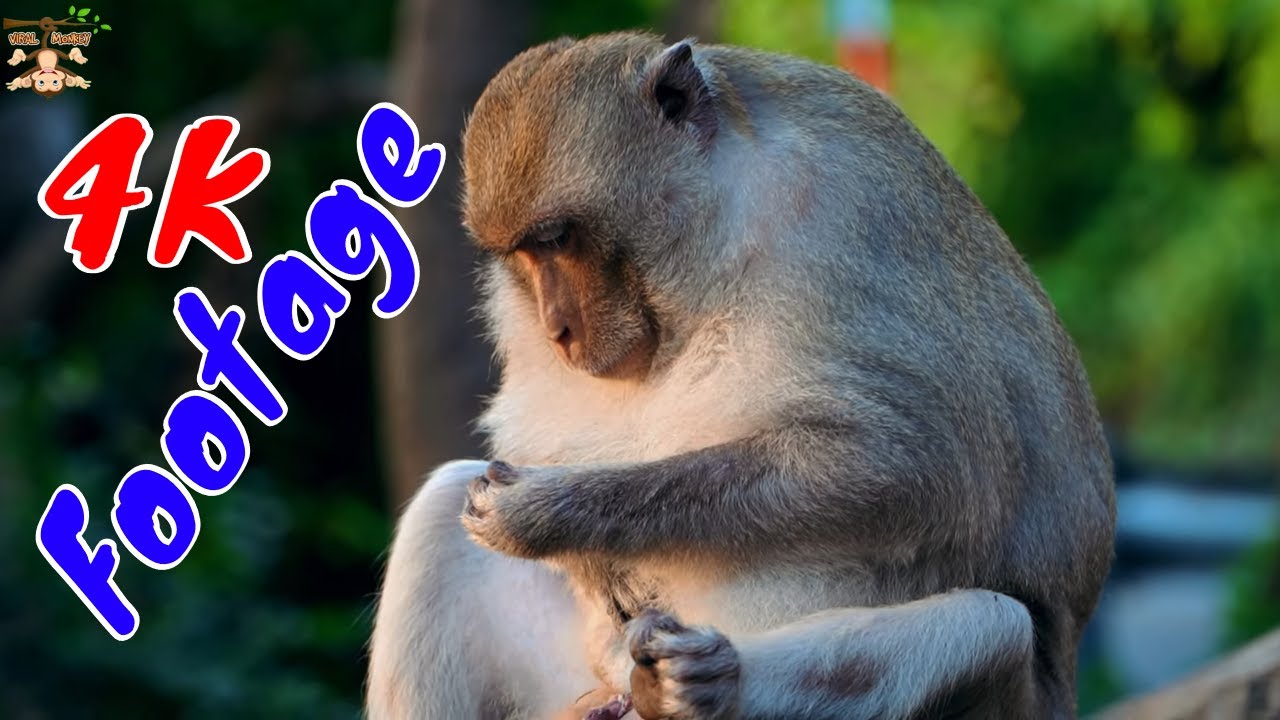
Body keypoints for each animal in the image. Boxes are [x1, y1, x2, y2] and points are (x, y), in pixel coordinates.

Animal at [367, 32, 1116, 720]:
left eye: (557, 239)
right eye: (522, 255)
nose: (558, 330)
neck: (714, 232)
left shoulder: (838, 216)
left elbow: (923, 467)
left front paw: (550, 513)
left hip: (1011, 701)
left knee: (991, 626)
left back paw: (698, 687)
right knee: (442, 506)